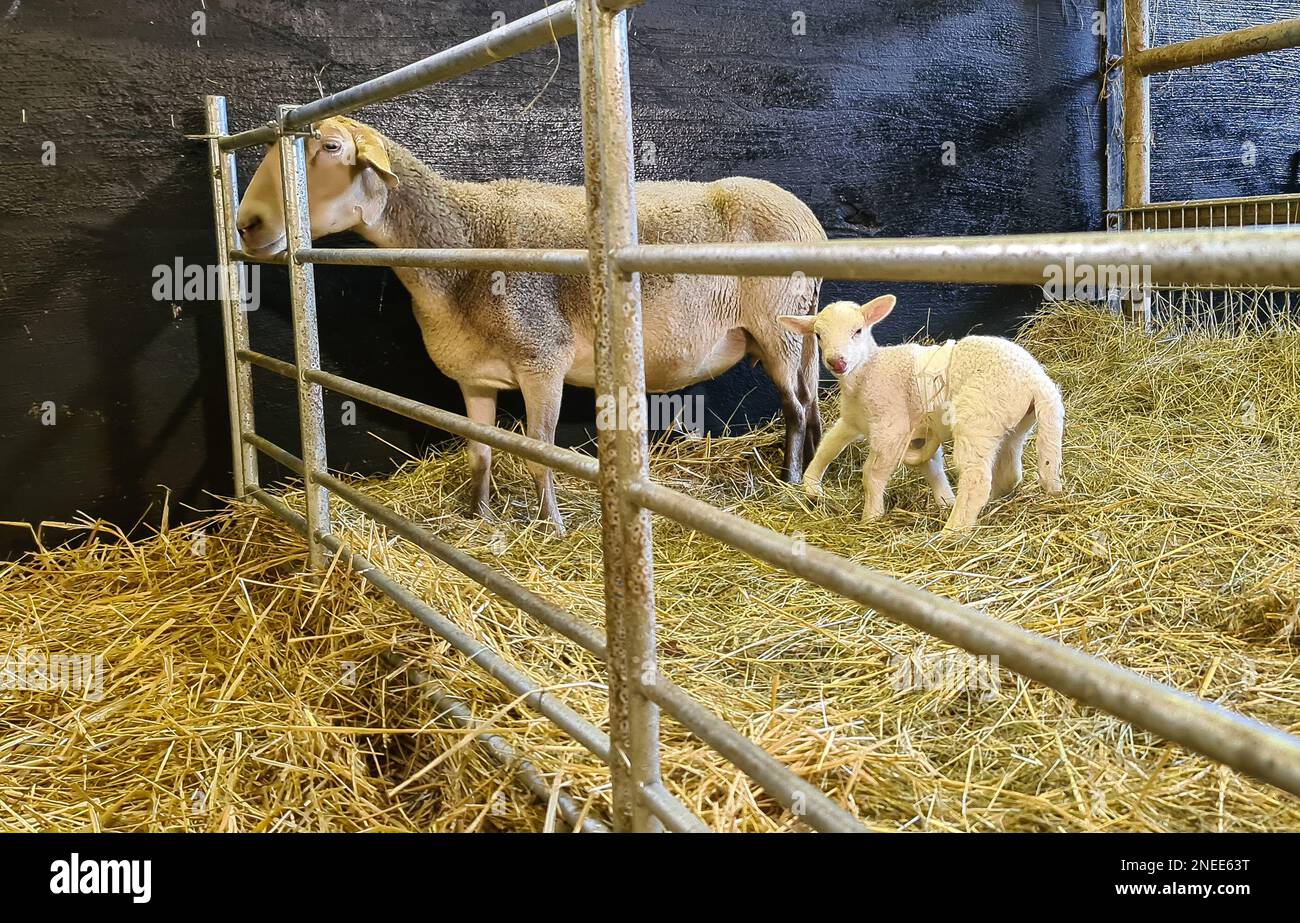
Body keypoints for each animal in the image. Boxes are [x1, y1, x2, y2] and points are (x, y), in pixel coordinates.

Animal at [235, 116, 825, 533]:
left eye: (332, 147)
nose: (247, 224)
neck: (464, 244)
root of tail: (811, 223)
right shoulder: (472, 375)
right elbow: (479, 449)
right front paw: (478, 515)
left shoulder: (544, 362)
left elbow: (541, 449)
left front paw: (553, 525)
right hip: (799, 336)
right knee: (810, 401)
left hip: (778, 328)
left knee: (795, 409)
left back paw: (789, 481)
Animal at [779, 296, 1065, 532]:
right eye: (817, 335)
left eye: (857, 331)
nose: (837, 362)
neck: (867, 371)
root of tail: (1038, 381)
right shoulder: (857, 421)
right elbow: (830, 444)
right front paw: (811, 485)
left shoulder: (891, 428)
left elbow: (872, 474)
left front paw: (870, 518)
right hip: (1014, 423)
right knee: (1009, 472)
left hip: (978, 418)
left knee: (976, 481)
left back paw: (952, 532)